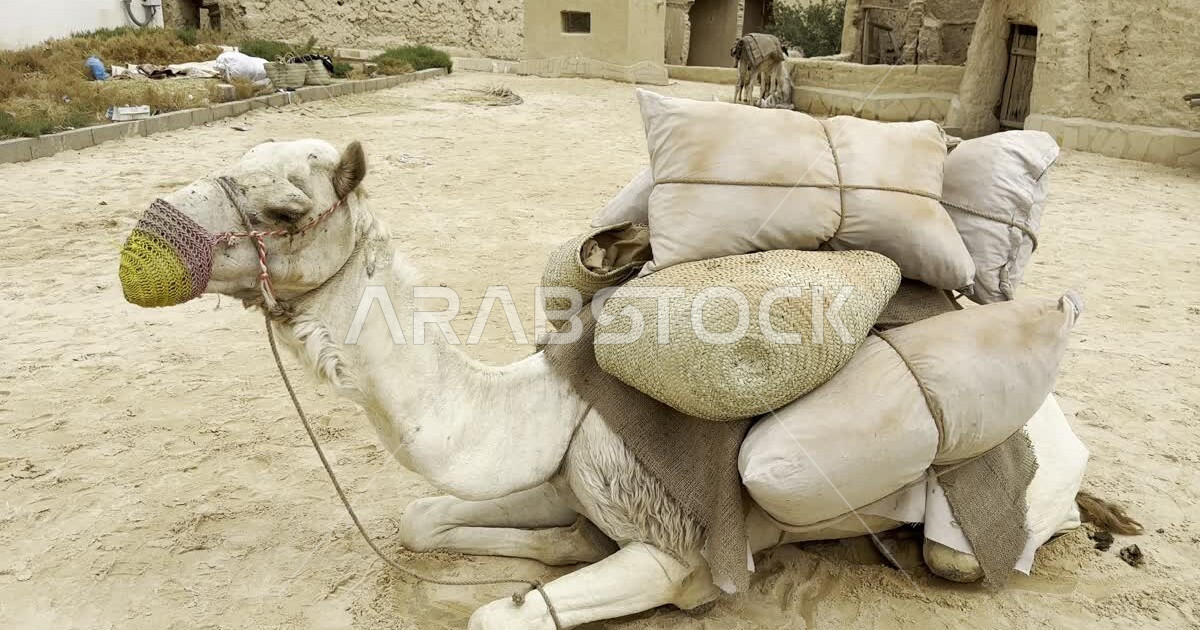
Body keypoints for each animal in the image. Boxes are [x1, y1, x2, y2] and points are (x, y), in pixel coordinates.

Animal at [120, 139, 1140, 629]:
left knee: (975, 549)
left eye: (284, 210)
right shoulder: (570, 471)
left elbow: (499, 616)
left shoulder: (673, 550)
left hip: (980, 512)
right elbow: (422, 518)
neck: (545, 399)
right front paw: (551, 549)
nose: (146, 240)